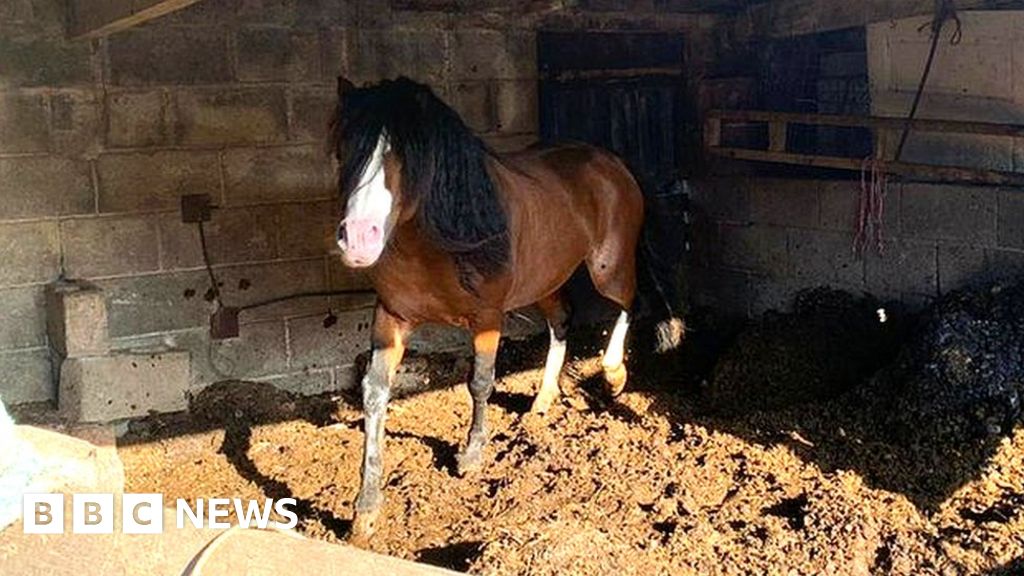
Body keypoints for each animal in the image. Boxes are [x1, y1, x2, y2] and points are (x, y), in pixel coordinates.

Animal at [330, 76, 684, 541]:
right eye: (343, 149)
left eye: (407, 153)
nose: (358, 241)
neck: (440, 240)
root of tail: (612, 162)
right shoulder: (391, 317)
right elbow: (374, 393)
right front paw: (366, 510)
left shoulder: (487, 318)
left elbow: (480, 383)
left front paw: (471, 456)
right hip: (545, 279)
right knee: (562, 320)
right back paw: (544, 399)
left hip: (609, 266)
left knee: (631, 303)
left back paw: (613, 375)